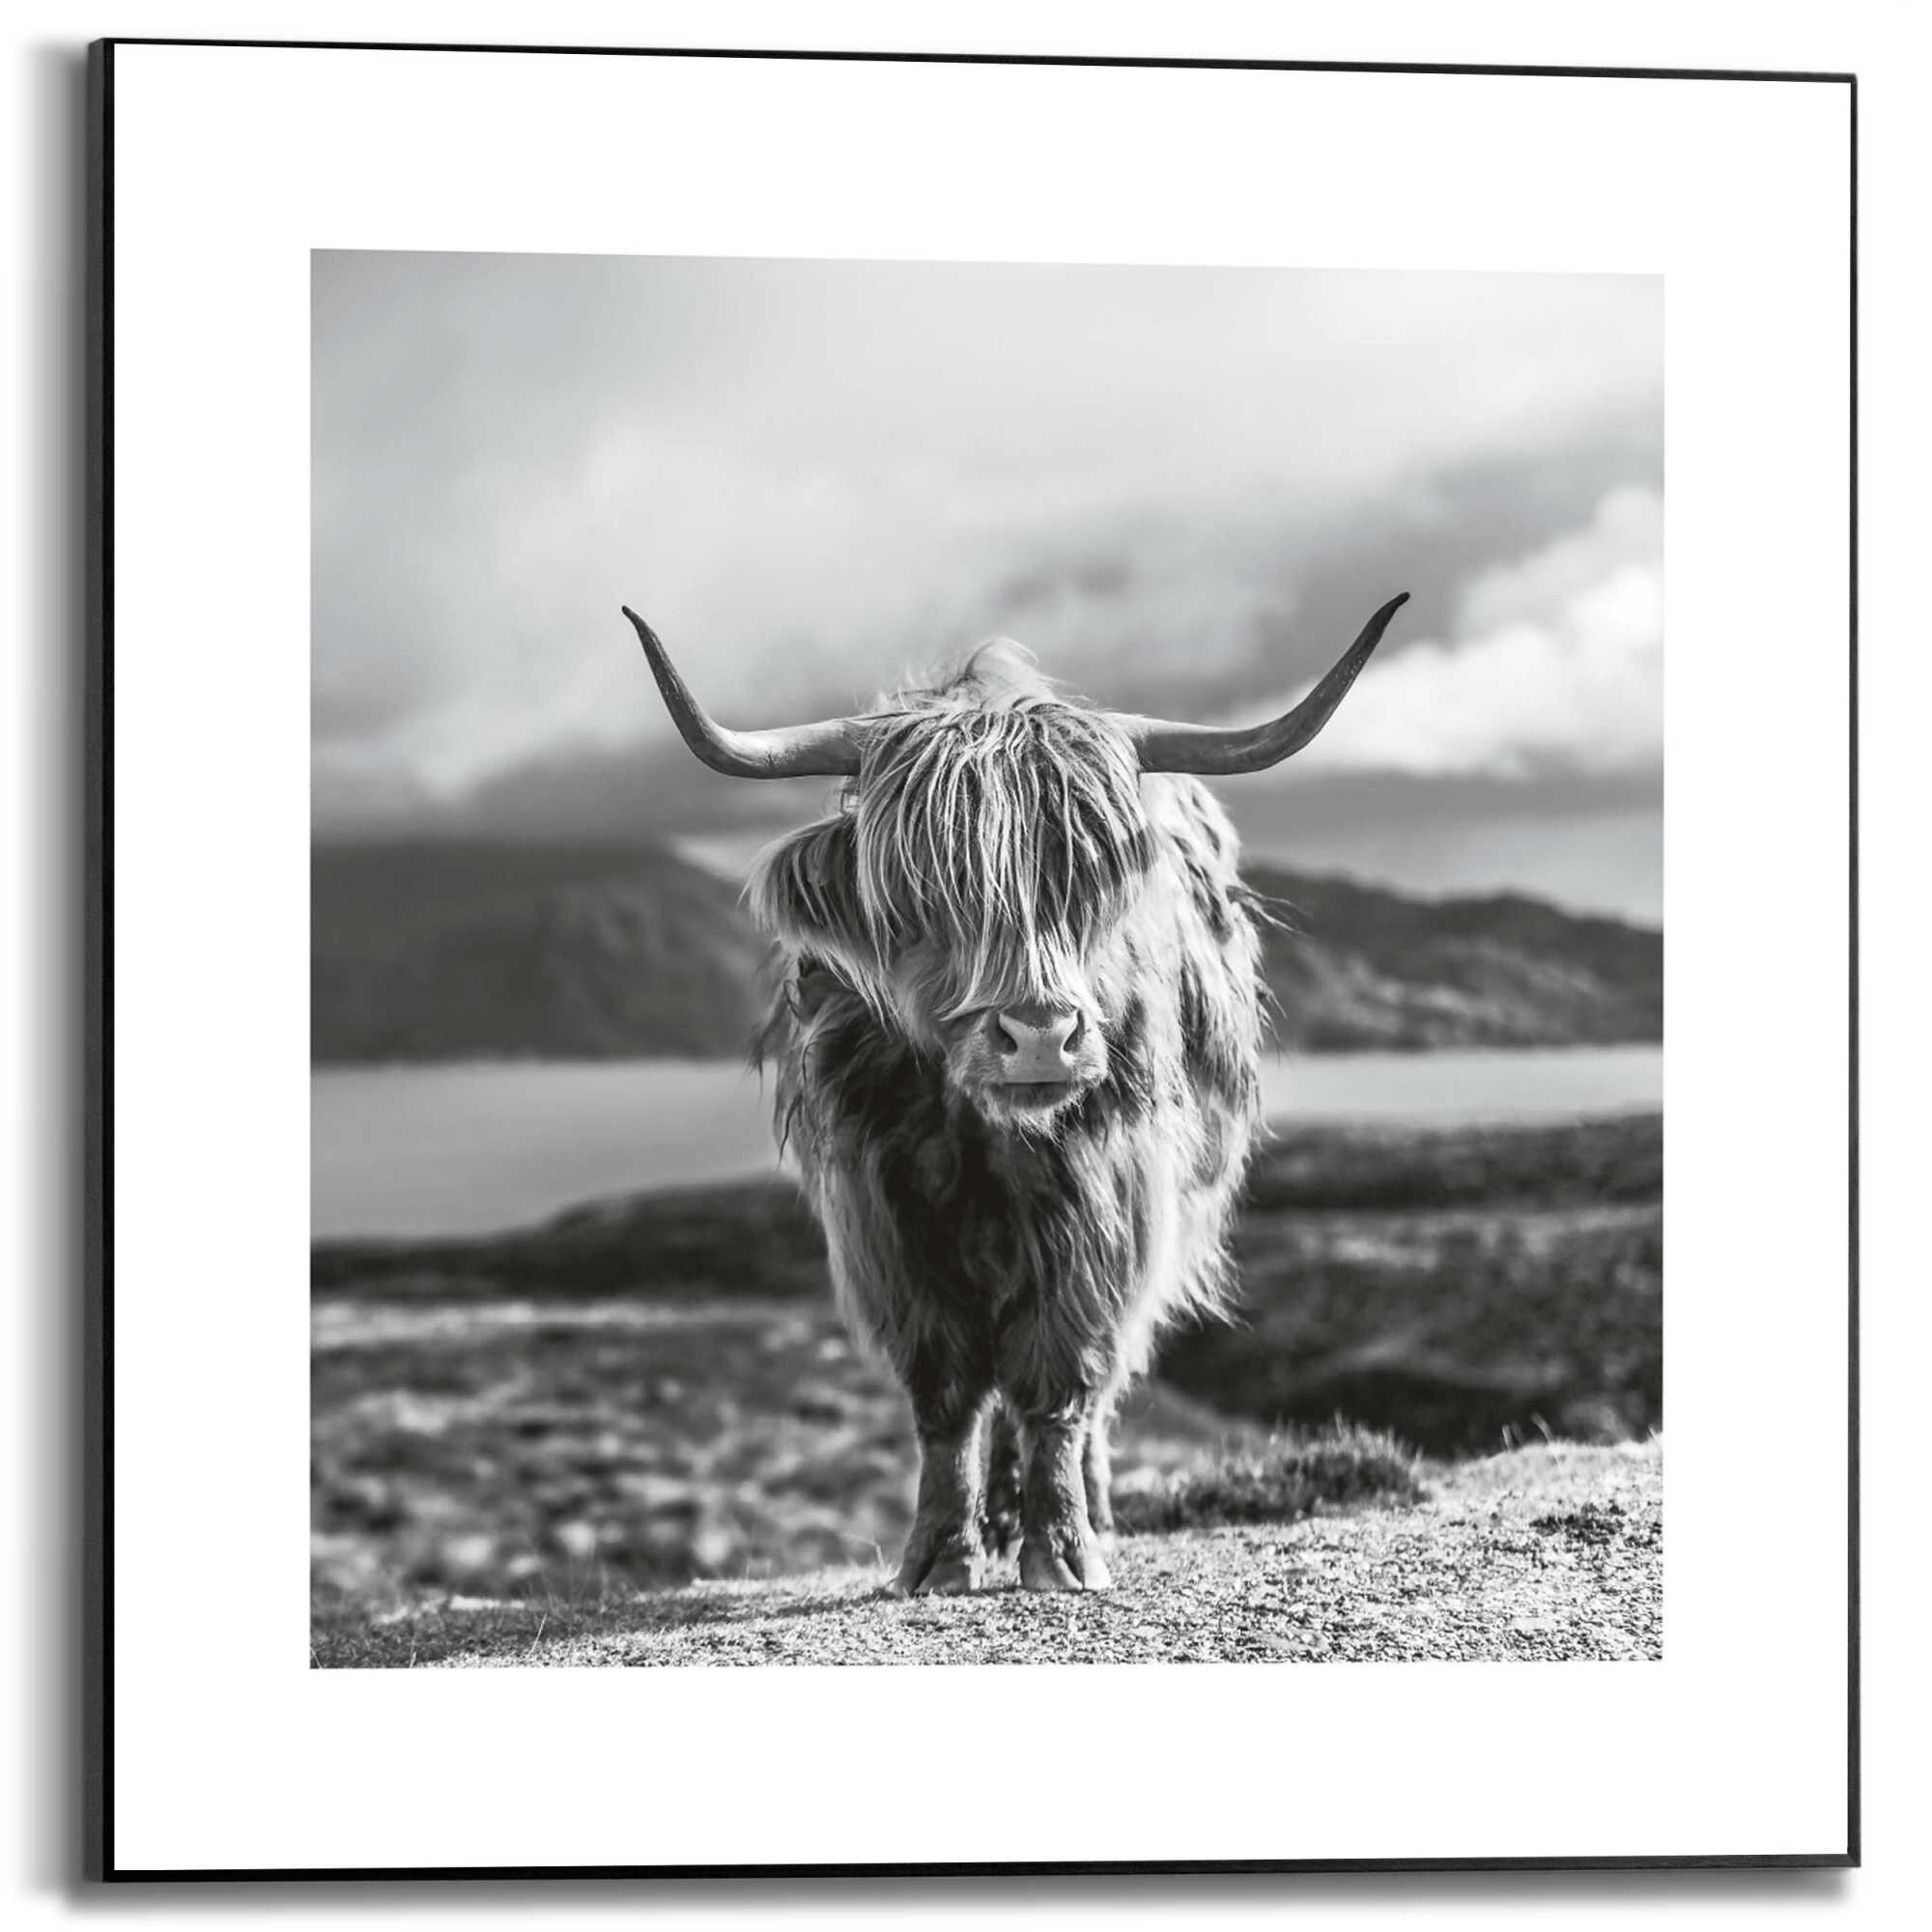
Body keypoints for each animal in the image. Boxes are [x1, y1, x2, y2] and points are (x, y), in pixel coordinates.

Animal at [623, 593, 1407, 1594]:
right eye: (924, 891)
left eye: (1088, 880)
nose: (1041, 1034)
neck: (985, 1135)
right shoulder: (883, 1216)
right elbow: (947, 1391)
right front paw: (939, 1555)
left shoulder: (1104, 1204)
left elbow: (1060, 1377)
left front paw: (1063, 1549)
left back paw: (1087, 1513)